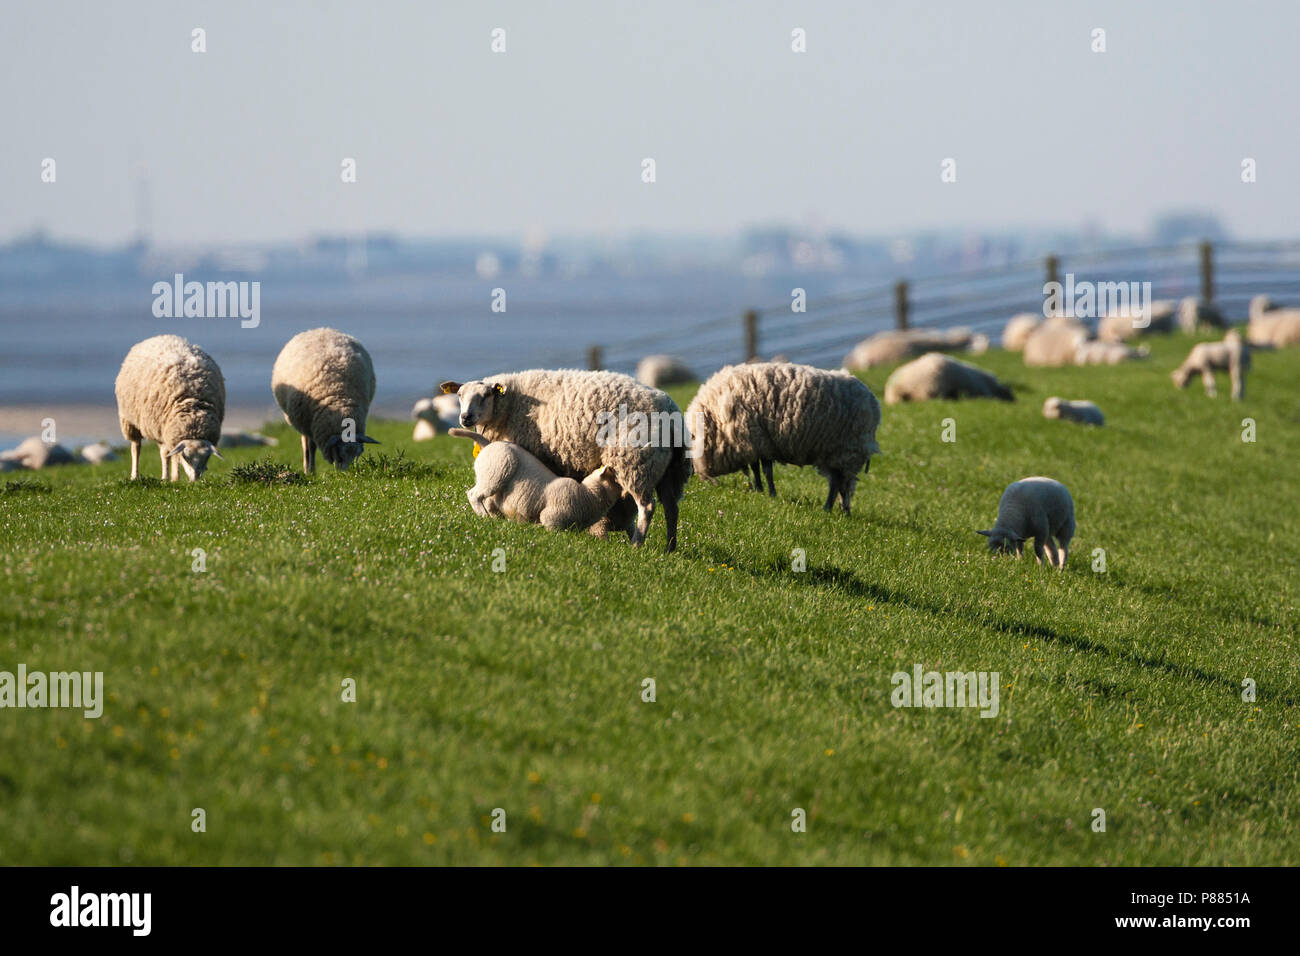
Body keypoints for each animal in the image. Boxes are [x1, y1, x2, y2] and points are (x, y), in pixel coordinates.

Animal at [114, 334, 225, 481]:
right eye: (186, 457)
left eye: (206, 458)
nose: (195, 480)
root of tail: (160, 336)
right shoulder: (162, 429)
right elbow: (167, 455)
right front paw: (168, 478)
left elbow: (173, 457)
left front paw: (175, 478)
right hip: (129, 420)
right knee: (136, 447)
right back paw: (135, 475)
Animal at [271, 328, 378, 473]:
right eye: (339, 455)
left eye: (358, 455)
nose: (349, 474)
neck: (339, 398)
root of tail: (320, 329)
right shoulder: (309, 424)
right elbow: (311, 447)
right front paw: (311, 471)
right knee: (305, 444)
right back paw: (307, 468)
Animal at [449, 428, 624, 531]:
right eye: (616, 481)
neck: (588, 495)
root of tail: (487, 444)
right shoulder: (552, 517)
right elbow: (548, 525)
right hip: (496, 472)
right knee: (474, 495)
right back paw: (483, 516)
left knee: (489, 501)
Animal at [684, 362, 881, 514]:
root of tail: (873, 402)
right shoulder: (757, 443)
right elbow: (758, 469)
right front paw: (760, 490)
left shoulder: (757, 439)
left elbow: (765, 471)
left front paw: (769, 493)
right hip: (835, 454)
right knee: (840, 483)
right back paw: (840, 510)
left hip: (847, 451)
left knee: (839, 483)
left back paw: (830, 509)